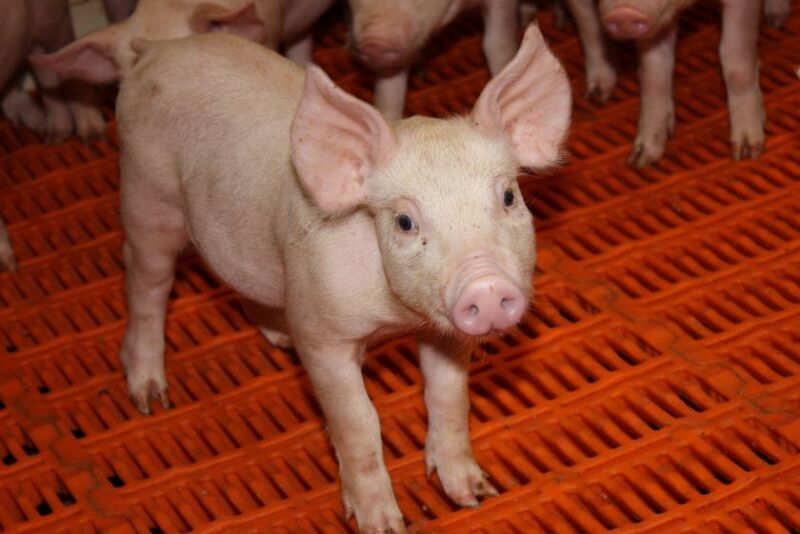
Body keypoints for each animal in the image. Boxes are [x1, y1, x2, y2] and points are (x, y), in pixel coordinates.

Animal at [116, 25, 570, 532]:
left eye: (508, 196)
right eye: (404, 222)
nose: (487, 286)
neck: (396, 318)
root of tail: (155, 51)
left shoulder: (444, 332)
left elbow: (448, 396)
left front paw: (474, 495)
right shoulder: (322, 335)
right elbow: (358, 423)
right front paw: (384, 525)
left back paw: (280, 338)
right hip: (145, 193)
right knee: (146, 281)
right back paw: (150, 398)